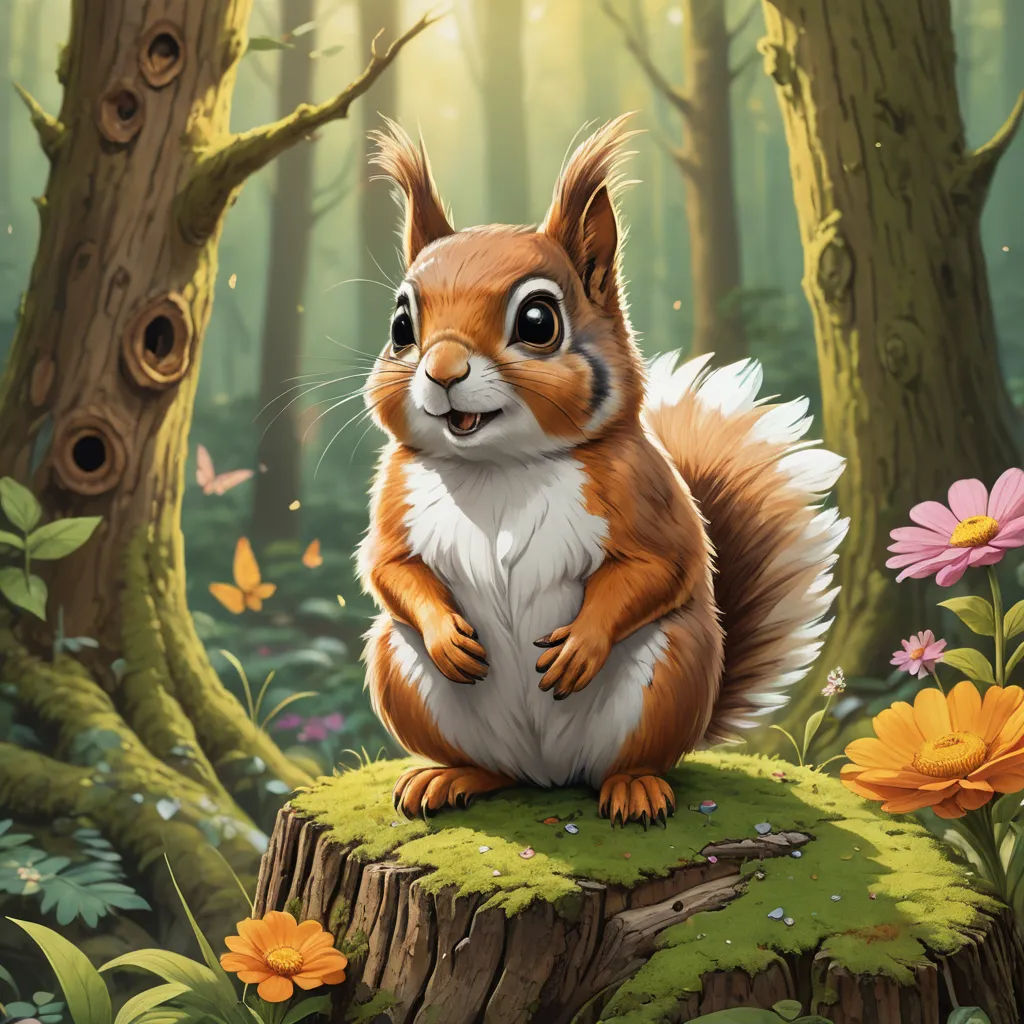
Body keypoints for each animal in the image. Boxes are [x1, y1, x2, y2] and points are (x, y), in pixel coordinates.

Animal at [357, 115, 847, 827]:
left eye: (538, 321)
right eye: (401, 325)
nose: (442, 371)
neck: (499, 466)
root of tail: (548, 774)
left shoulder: (644, 494)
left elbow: (660, 567)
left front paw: (580, 645)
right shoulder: (396, 497)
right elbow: (389, 568)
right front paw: (448, 635)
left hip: (669, 671)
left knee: (631, 760)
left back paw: (636, 790)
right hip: (401, 669)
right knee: (487, 763)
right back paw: (447, 777)